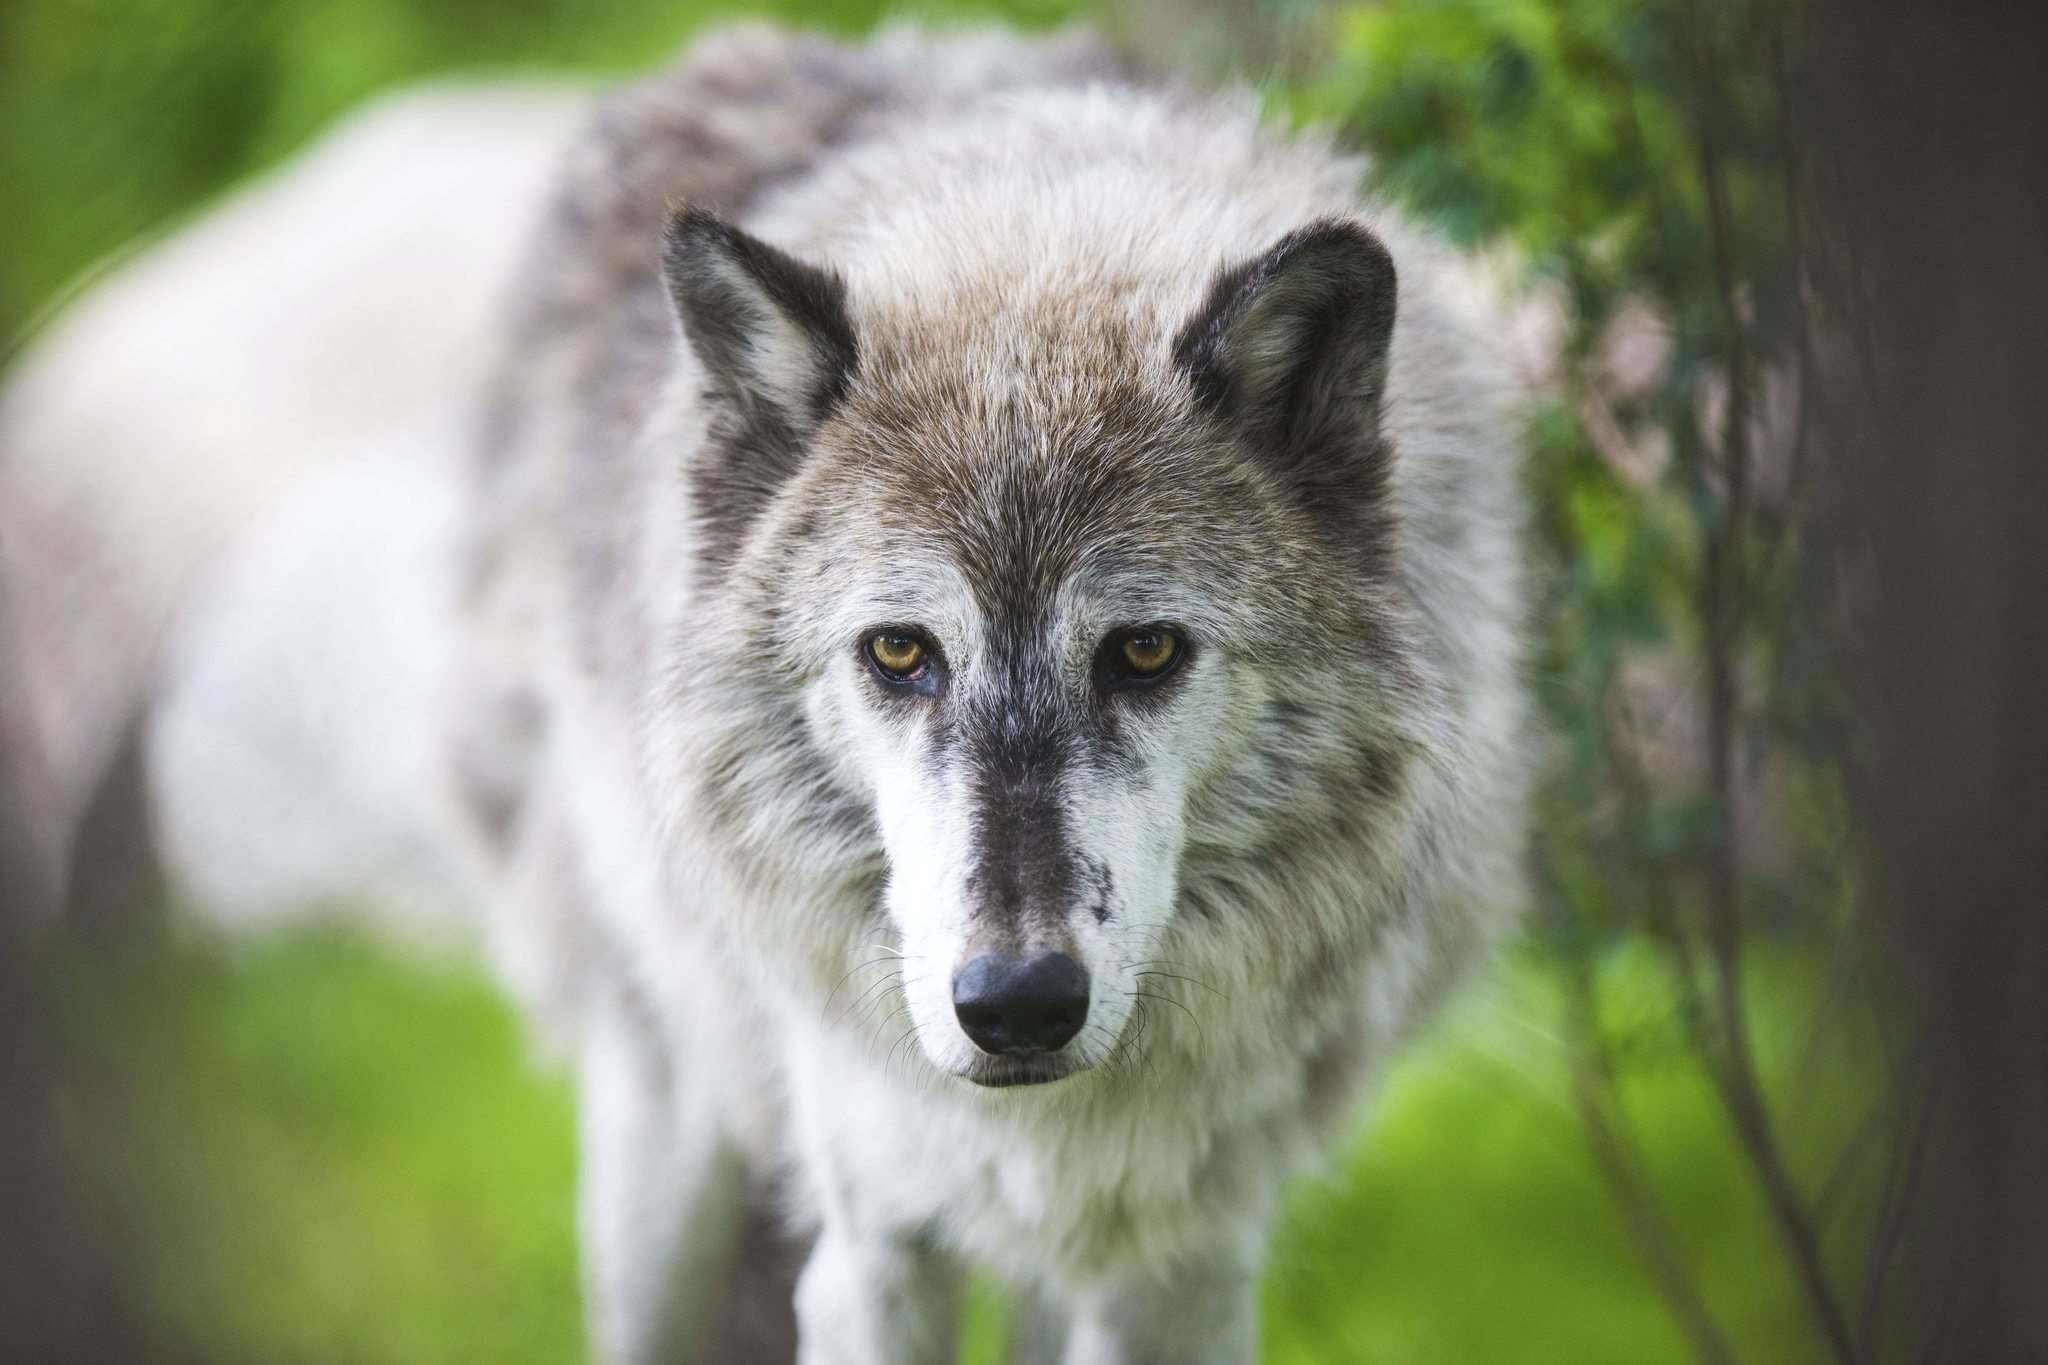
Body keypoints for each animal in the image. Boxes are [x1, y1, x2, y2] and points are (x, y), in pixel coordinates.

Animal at [455, 21, 1529, 1365]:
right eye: (898, 653)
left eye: (1144, 653)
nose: (1017, 1006)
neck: (1034, 244)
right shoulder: (871, 1251)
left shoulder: (1180, 1270)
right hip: (658, 1142)